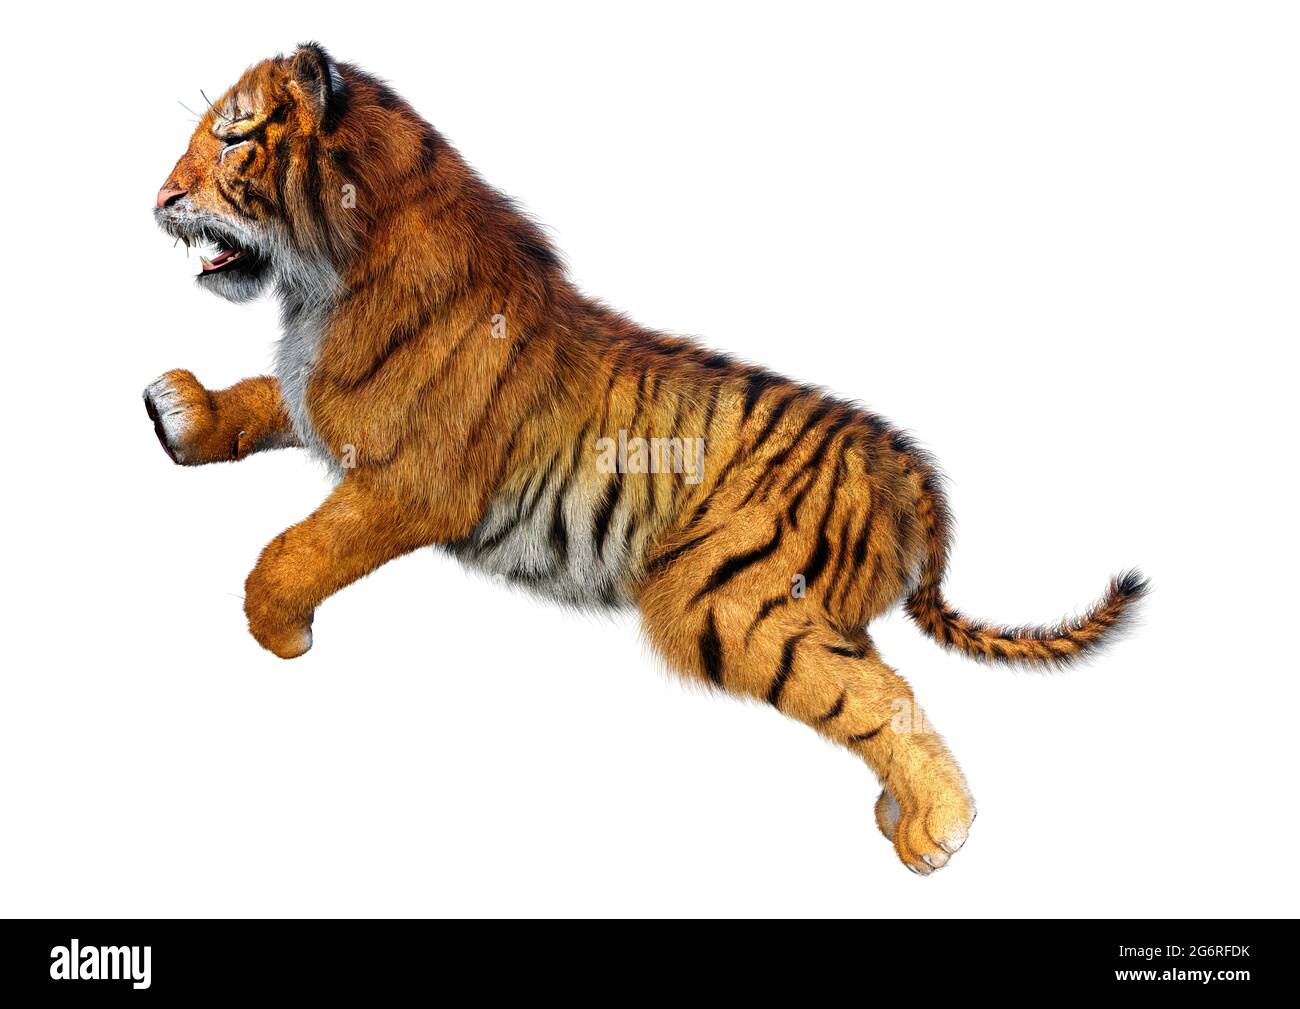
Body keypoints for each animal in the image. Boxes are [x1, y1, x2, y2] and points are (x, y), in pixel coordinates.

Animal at [146, 43, 1147, 874]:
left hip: (727, 602)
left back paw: (939, 829)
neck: (318, 282)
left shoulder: (413, 482)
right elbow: (267, 398)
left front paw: (280, 628)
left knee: (882, 694)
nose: (158, 200)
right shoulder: (326, 405)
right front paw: (181, 411)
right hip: (802, 608)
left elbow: (298, 549)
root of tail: (904, 466)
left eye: (234, 135)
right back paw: (901, 813)